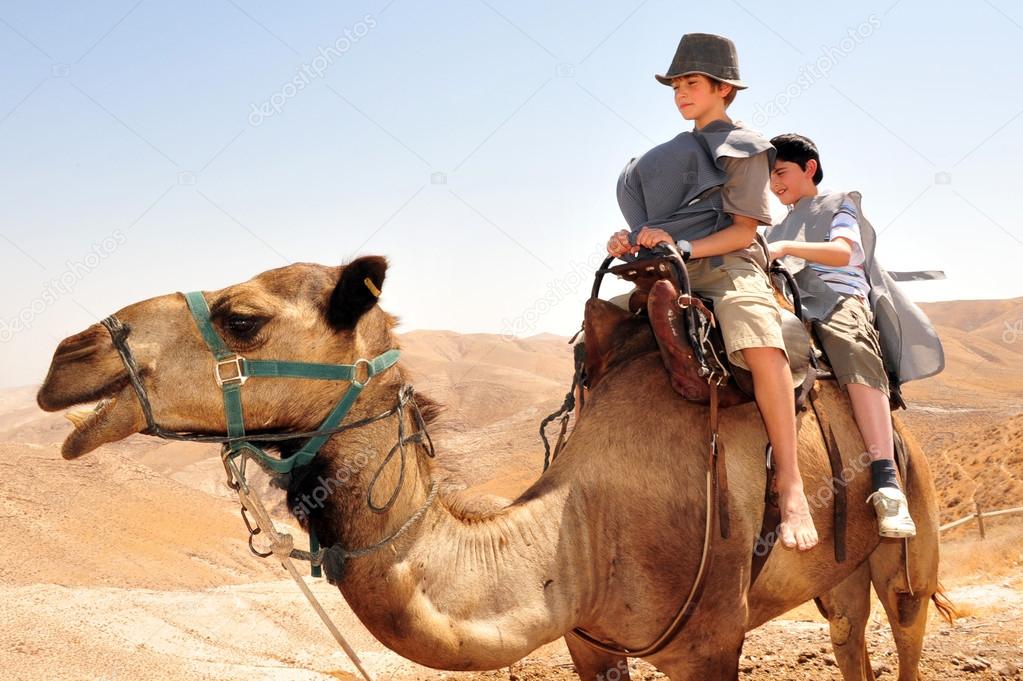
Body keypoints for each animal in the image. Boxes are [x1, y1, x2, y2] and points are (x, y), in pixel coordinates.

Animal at [36, 256, 953, 681]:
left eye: (242, 317)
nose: (66, 356)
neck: (579, 529)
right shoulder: (587, 640)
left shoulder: (711, 643)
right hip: (834, 572)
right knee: (846, 633)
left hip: (907, 526)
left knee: (903, 626)